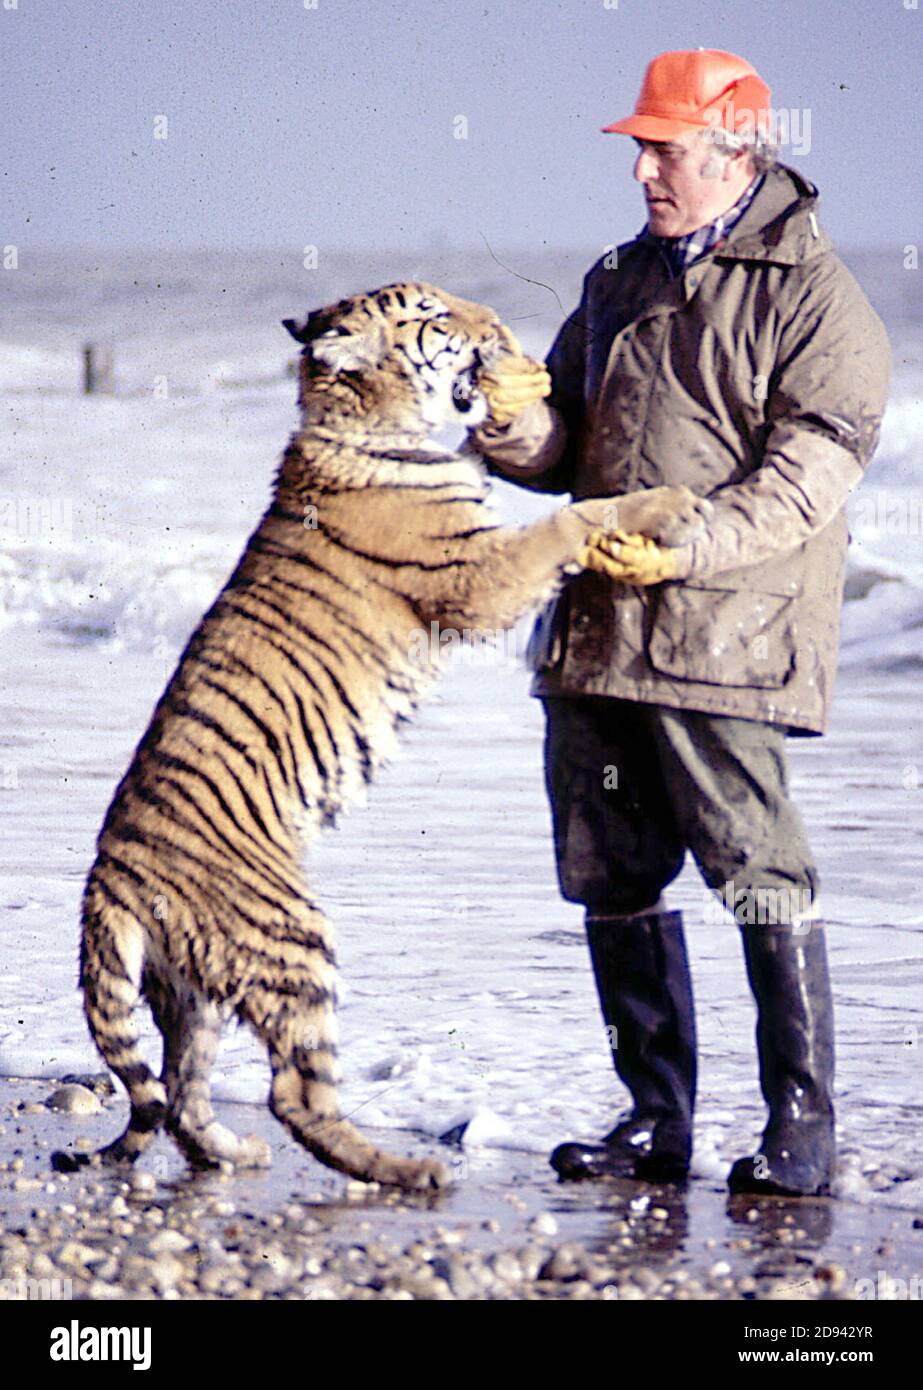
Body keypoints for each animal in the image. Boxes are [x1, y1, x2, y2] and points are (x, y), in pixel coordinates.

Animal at [54, 281, 711, 1192]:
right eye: (434, 316)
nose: (495, 326)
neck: (367, 423)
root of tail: (106, 881)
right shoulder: (483, 573)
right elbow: (574, 520)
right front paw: (670, 504)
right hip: (295, 943)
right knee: (295, 1095)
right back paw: (404, 1170)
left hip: (190, 991)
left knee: (184, 1093)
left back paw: (234, 1154)